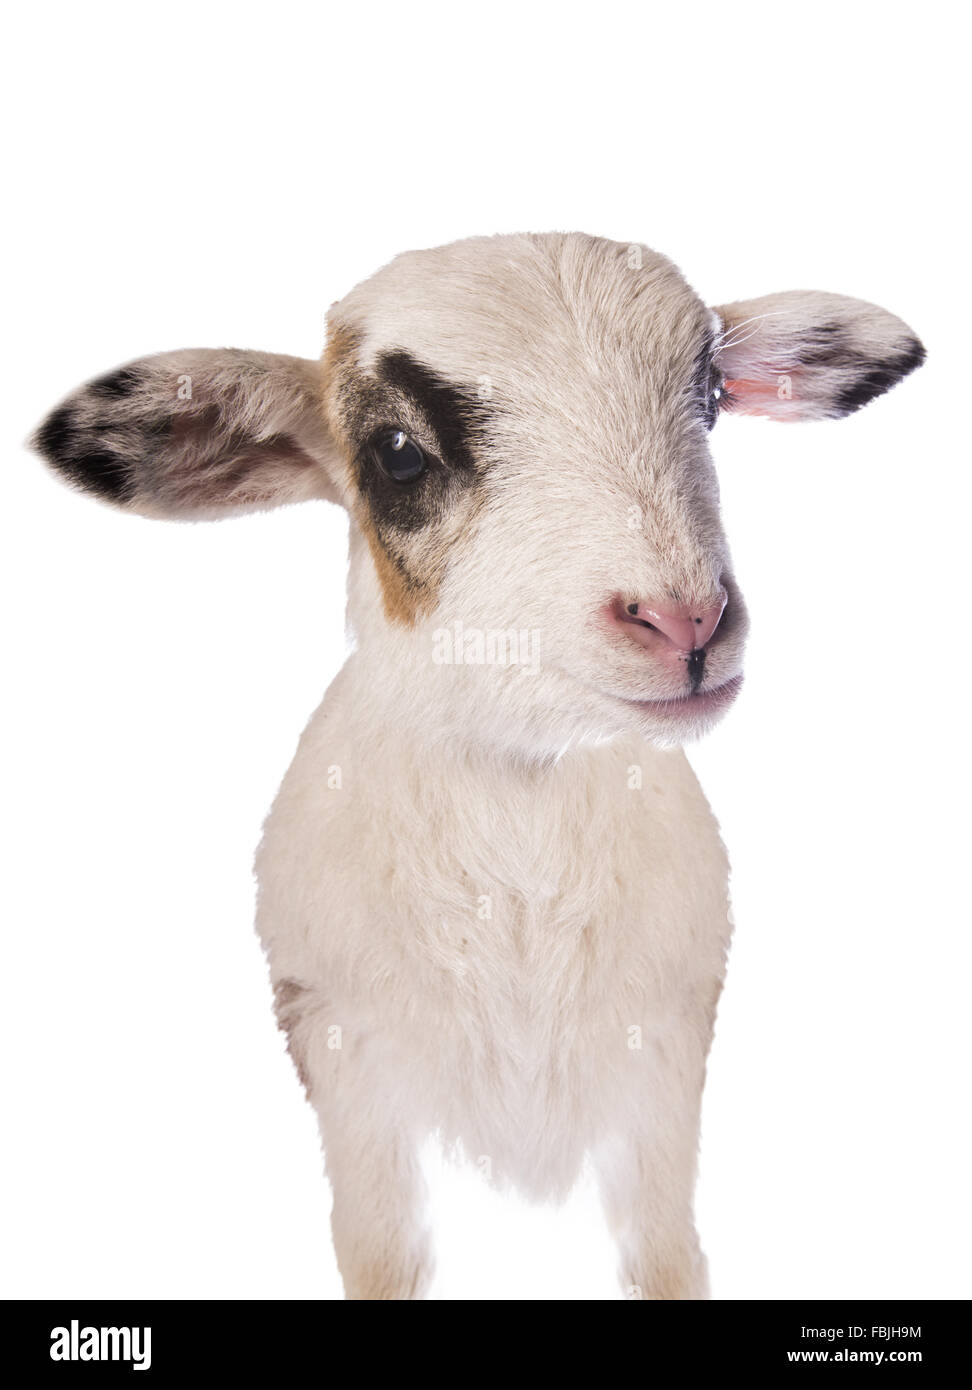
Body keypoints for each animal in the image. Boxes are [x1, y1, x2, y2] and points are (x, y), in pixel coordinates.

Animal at [32, 233, 924, 1300]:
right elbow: (386, 1256)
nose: (686, 622)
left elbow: (665, 1256)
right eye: (396, 451)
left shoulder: (664, 1058)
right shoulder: (351, 1065)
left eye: (710, 397)